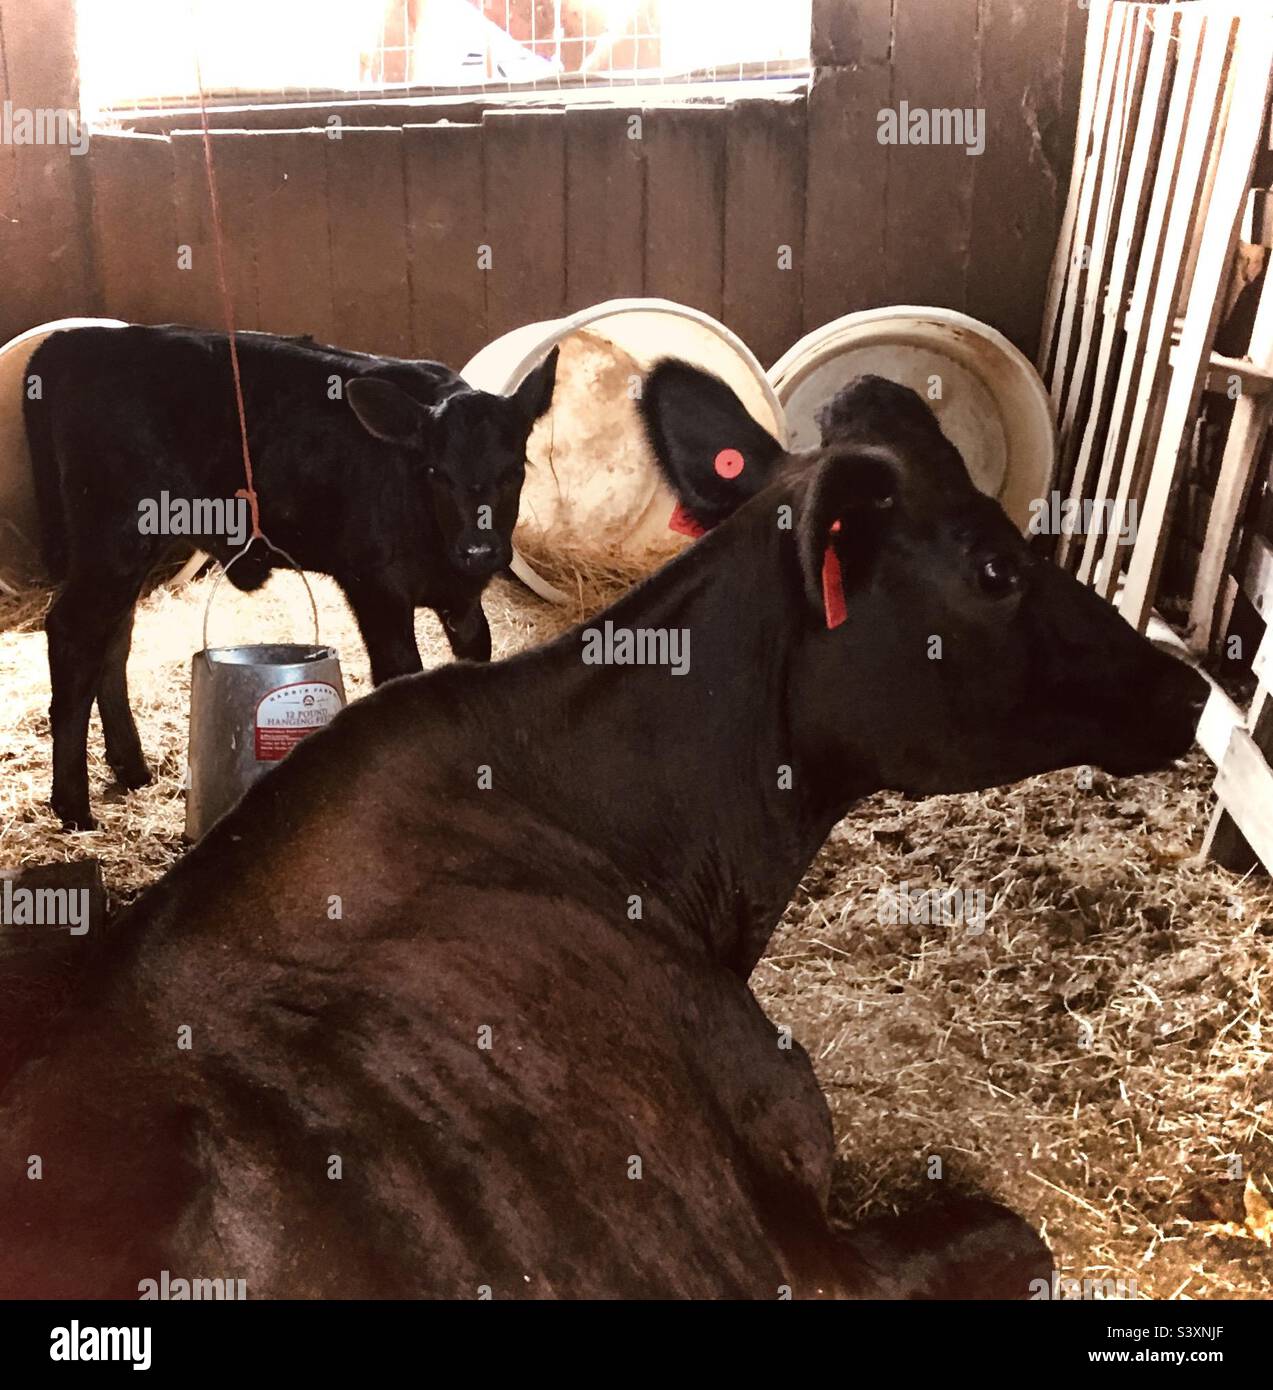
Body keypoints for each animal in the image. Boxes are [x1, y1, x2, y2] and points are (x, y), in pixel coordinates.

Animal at [24, 324, 559, 829]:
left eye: (515, 470)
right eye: (435, 472)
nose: (479, 549)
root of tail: (79, 340)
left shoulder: (463, 600)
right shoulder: (376, 587)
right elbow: (401, 673)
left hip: (133, 546)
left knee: (113, 639)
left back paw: (131, 768)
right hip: (114, 536)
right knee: (74, 633)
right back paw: (73, 806)